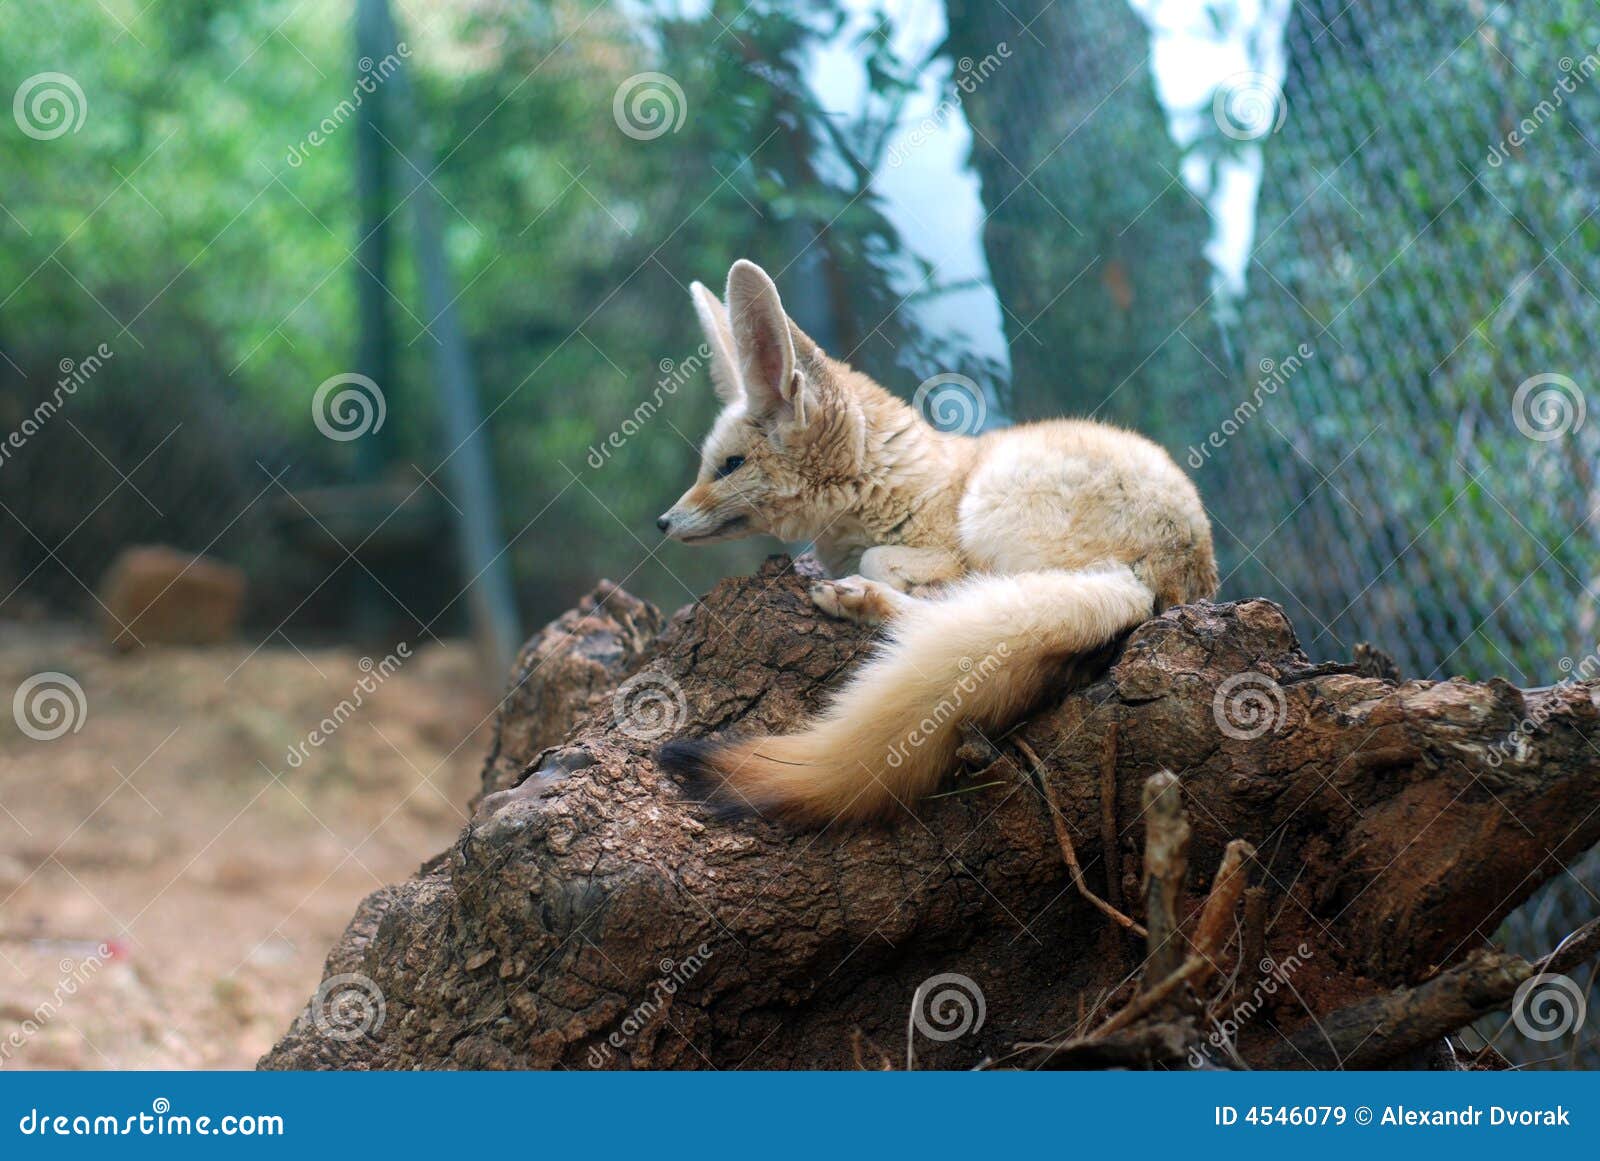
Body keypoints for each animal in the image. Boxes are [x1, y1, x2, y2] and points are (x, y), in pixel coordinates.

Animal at [656, 259, 1218, 827]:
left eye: (730, 465)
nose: (662, 522)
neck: (887, 482)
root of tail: (1165, 571)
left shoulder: (943, 545)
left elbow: (887, 560)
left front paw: (884, 583)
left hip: (993, 509)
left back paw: (863, 600)